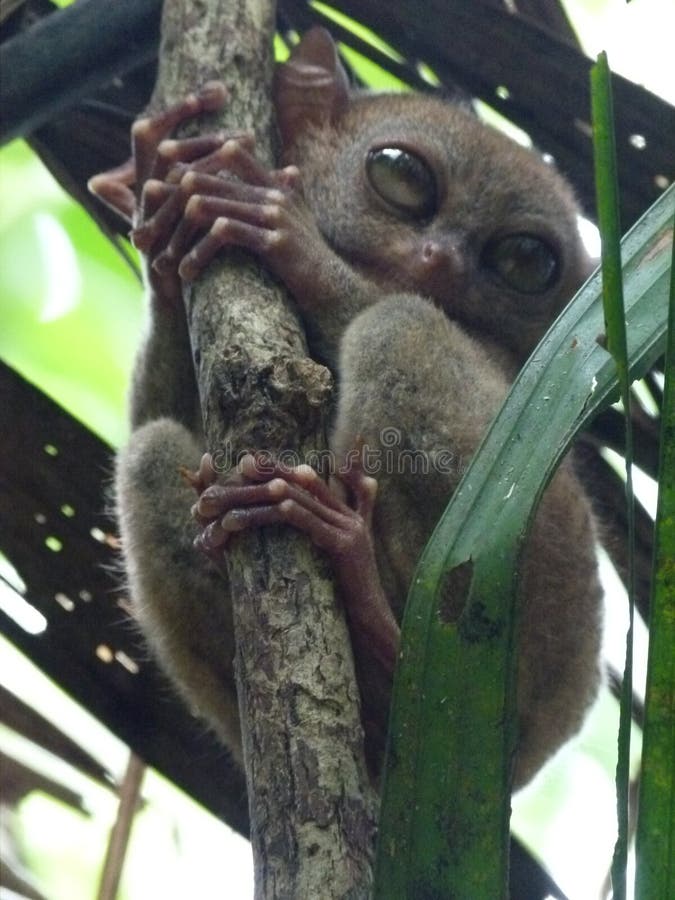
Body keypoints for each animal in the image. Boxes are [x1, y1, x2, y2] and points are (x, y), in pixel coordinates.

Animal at [89, 27, 603, 788]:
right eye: (401, 178)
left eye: (520, 261)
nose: (439, 260)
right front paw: (159, 193)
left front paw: (289, 236)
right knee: (151, 455)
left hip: (541, 602)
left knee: (398, 324)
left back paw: (372, 614)